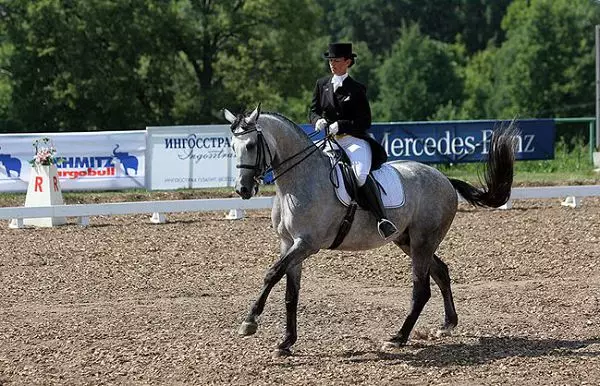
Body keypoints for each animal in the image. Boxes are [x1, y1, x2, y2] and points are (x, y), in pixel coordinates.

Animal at [223, 104, 516, 358]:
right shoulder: (289, 243)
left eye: (250, 145)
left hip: (423, 241)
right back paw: (447, 325)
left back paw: (398, 337)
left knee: (421, 289)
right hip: (408, 241)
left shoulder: (306, 244)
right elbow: (290, 294)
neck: (297, 182)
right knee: (441, 272)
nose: (243, 189)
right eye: (232, 147)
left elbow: (271, 274)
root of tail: (443, 178)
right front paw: (286, 342)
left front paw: (250, 322)